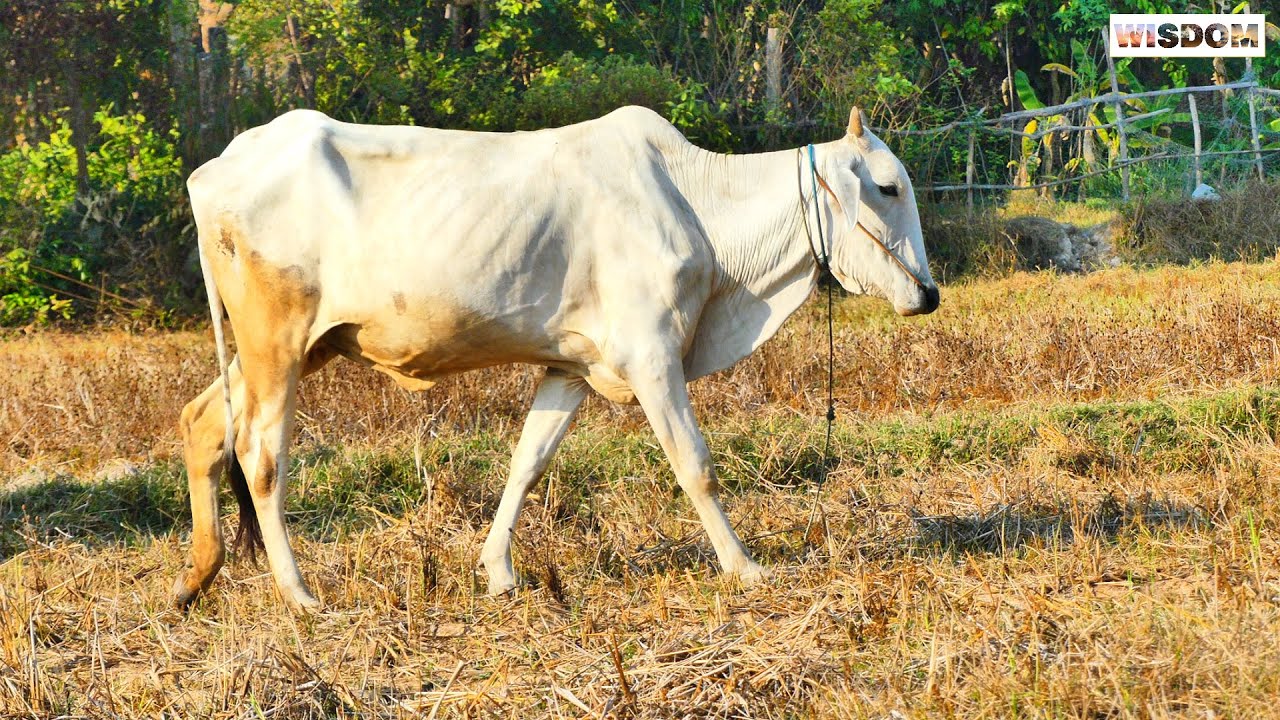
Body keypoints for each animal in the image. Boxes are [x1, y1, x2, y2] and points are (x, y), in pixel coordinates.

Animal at [173, 105, 939, 612]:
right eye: (888, 187)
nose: (929, 293)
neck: (696, 206)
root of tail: (215, 169)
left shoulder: (571, 369)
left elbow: (528, 463)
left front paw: (498, 572)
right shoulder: (653, 356)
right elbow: (696, 467)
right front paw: (745, 567)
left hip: (294, 348)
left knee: (203, 424)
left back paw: (197, 576)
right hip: (277, 340)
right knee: (261, 455)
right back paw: (300, 595)